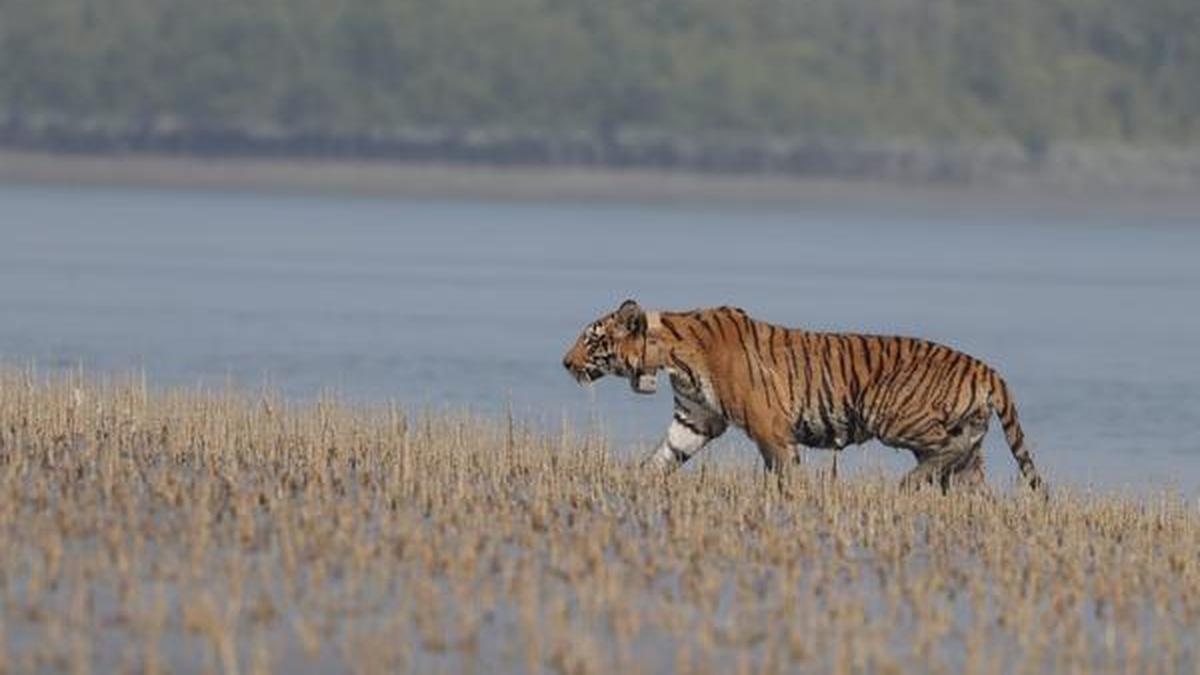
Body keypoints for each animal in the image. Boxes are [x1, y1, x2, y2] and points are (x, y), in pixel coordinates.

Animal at [562, 299, 1044, 492]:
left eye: (591, 339)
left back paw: (908, 482)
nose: (565, 363)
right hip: (965, 446)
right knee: (968, 474)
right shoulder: (695, 420)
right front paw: (629, 485)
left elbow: (782, 470)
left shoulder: (768, 426)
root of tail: (985, 367)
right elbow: (661, 457)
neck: (668, 357)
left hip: (890, 414)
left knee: (948, 447)